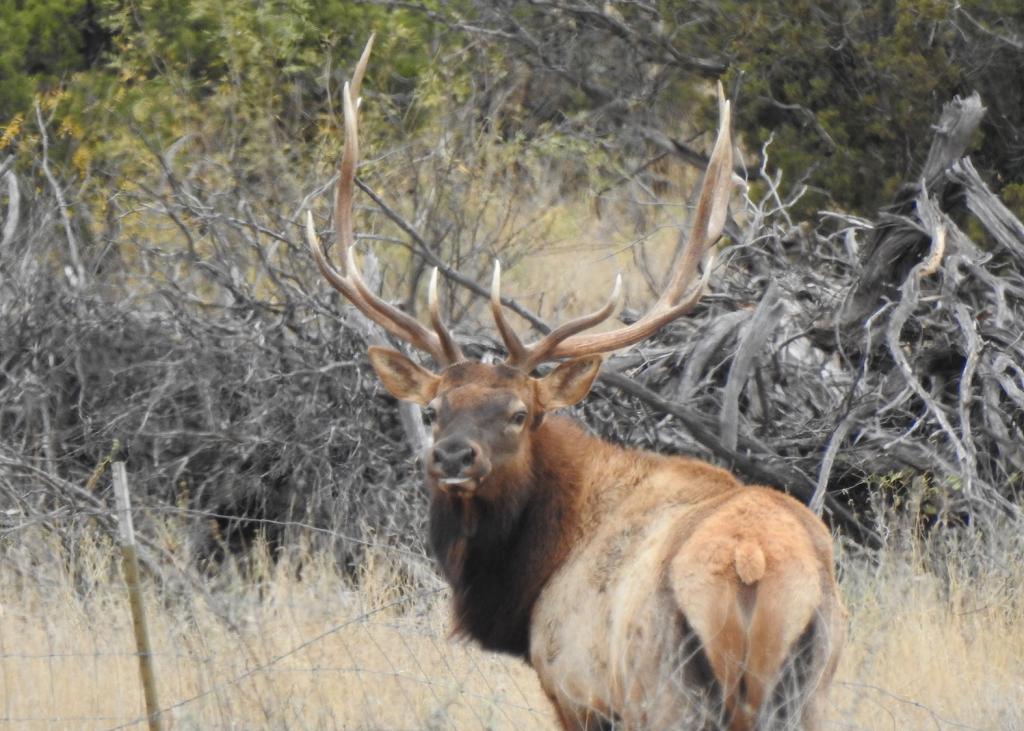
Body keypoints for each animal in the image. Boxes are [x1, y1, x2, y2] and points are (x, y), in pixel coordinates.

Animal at [304, 37, 845, 731]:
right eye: (434, 409)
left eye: (519, 413)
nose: (452, 457)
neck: (534, 578)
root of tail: (750, 564)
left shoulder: (576, 689)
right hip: (811, 686)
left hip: (667, 692)